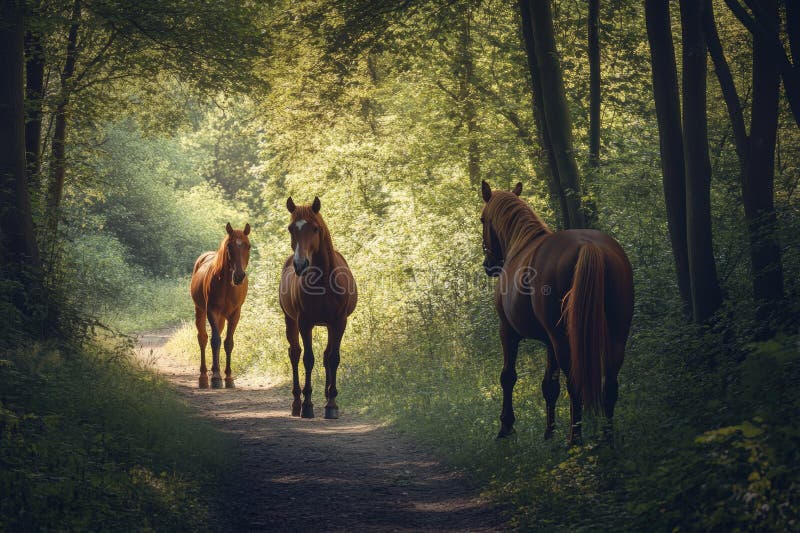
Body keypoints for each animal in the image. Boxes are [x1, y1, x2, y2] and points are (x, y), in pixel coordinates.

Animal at [190, 222, 251, 389]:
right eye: (229, 246)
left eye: (248, 245)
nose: (239, 276)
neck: (227, 285)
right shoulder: (212, 311)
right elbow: (215, 340)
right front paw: (216, 377)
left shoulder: (235, 314)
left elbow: (228, 342)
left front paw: (229, 378)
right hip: (200, 311)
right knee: (203, 338)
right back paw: (204, 377)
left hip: (222, 318)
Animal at [279, 196, 357, 419]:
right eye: (291, 228)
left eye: (314, 228)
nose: (300, 265)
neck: (324, 280)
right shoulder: (304, 323)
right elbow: (308, 359)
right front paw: (308, 404)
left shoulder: (339, 322)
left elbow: (333, 358)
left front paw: (332, 404)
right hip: (290, 320)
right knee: (295, 354)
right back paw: (297, 403)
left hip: (329, 325)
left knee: (326, 355)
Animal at [480, 181, 633, 445]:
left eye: (482, 220)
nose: (489, 265)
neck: (521, 244)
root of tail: (589, 245)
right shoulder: (549, 341)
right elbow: (549, 386)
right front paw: (549, 432)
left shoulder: (508, 331)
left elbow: (508, 377)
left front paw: (506, 427)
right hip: (615, 337)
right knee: (610, 385)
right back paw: (606, 438)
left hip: (564, 340)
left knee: (576, 384)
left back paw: (575, 440)